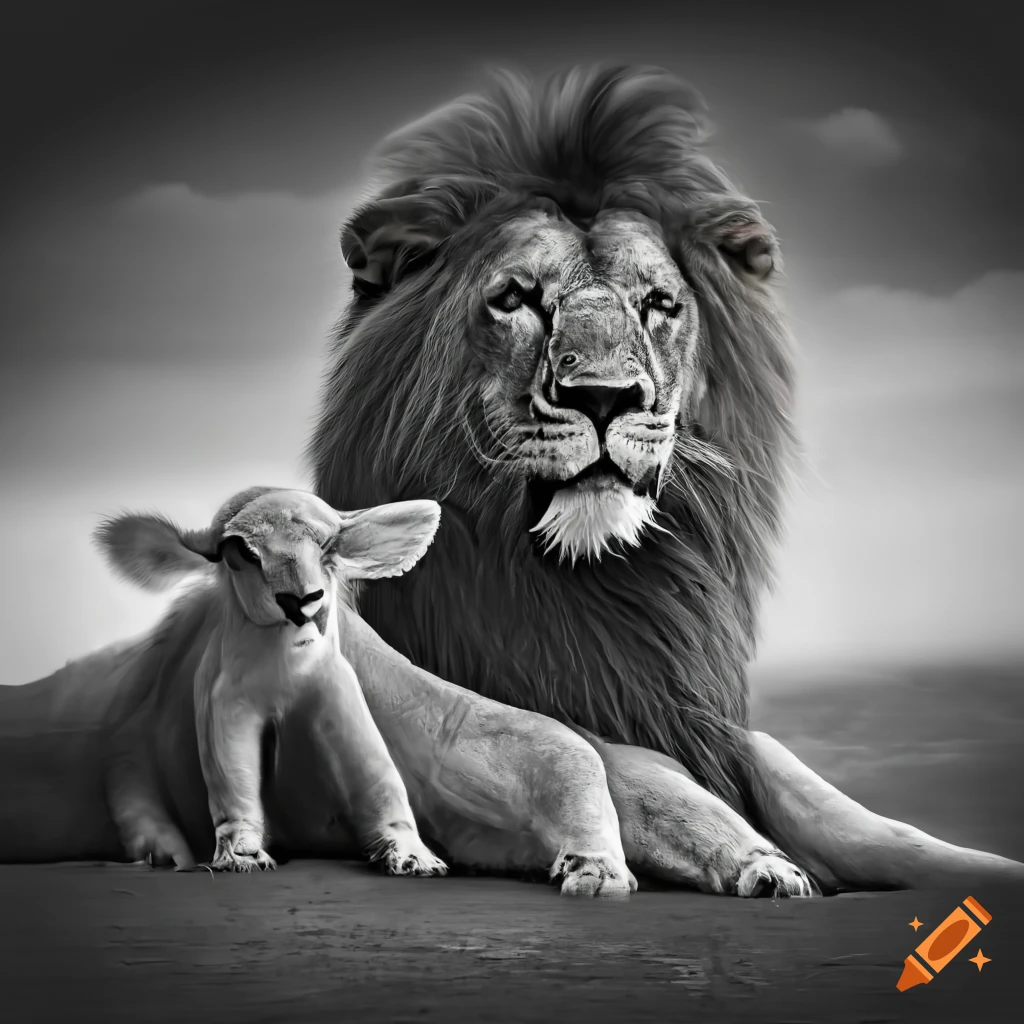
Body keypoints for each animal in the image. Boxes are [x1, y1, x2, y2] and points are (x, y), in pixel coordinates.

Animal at [1, 64, 1021, 896]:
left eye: (660, 303)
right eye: (516, 298)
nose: (604, 397)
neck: (593, 588)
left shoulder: (696, 717)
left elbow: (843, 809)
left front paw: (970, 865)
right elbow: (632, 777)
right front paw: (749, 860)